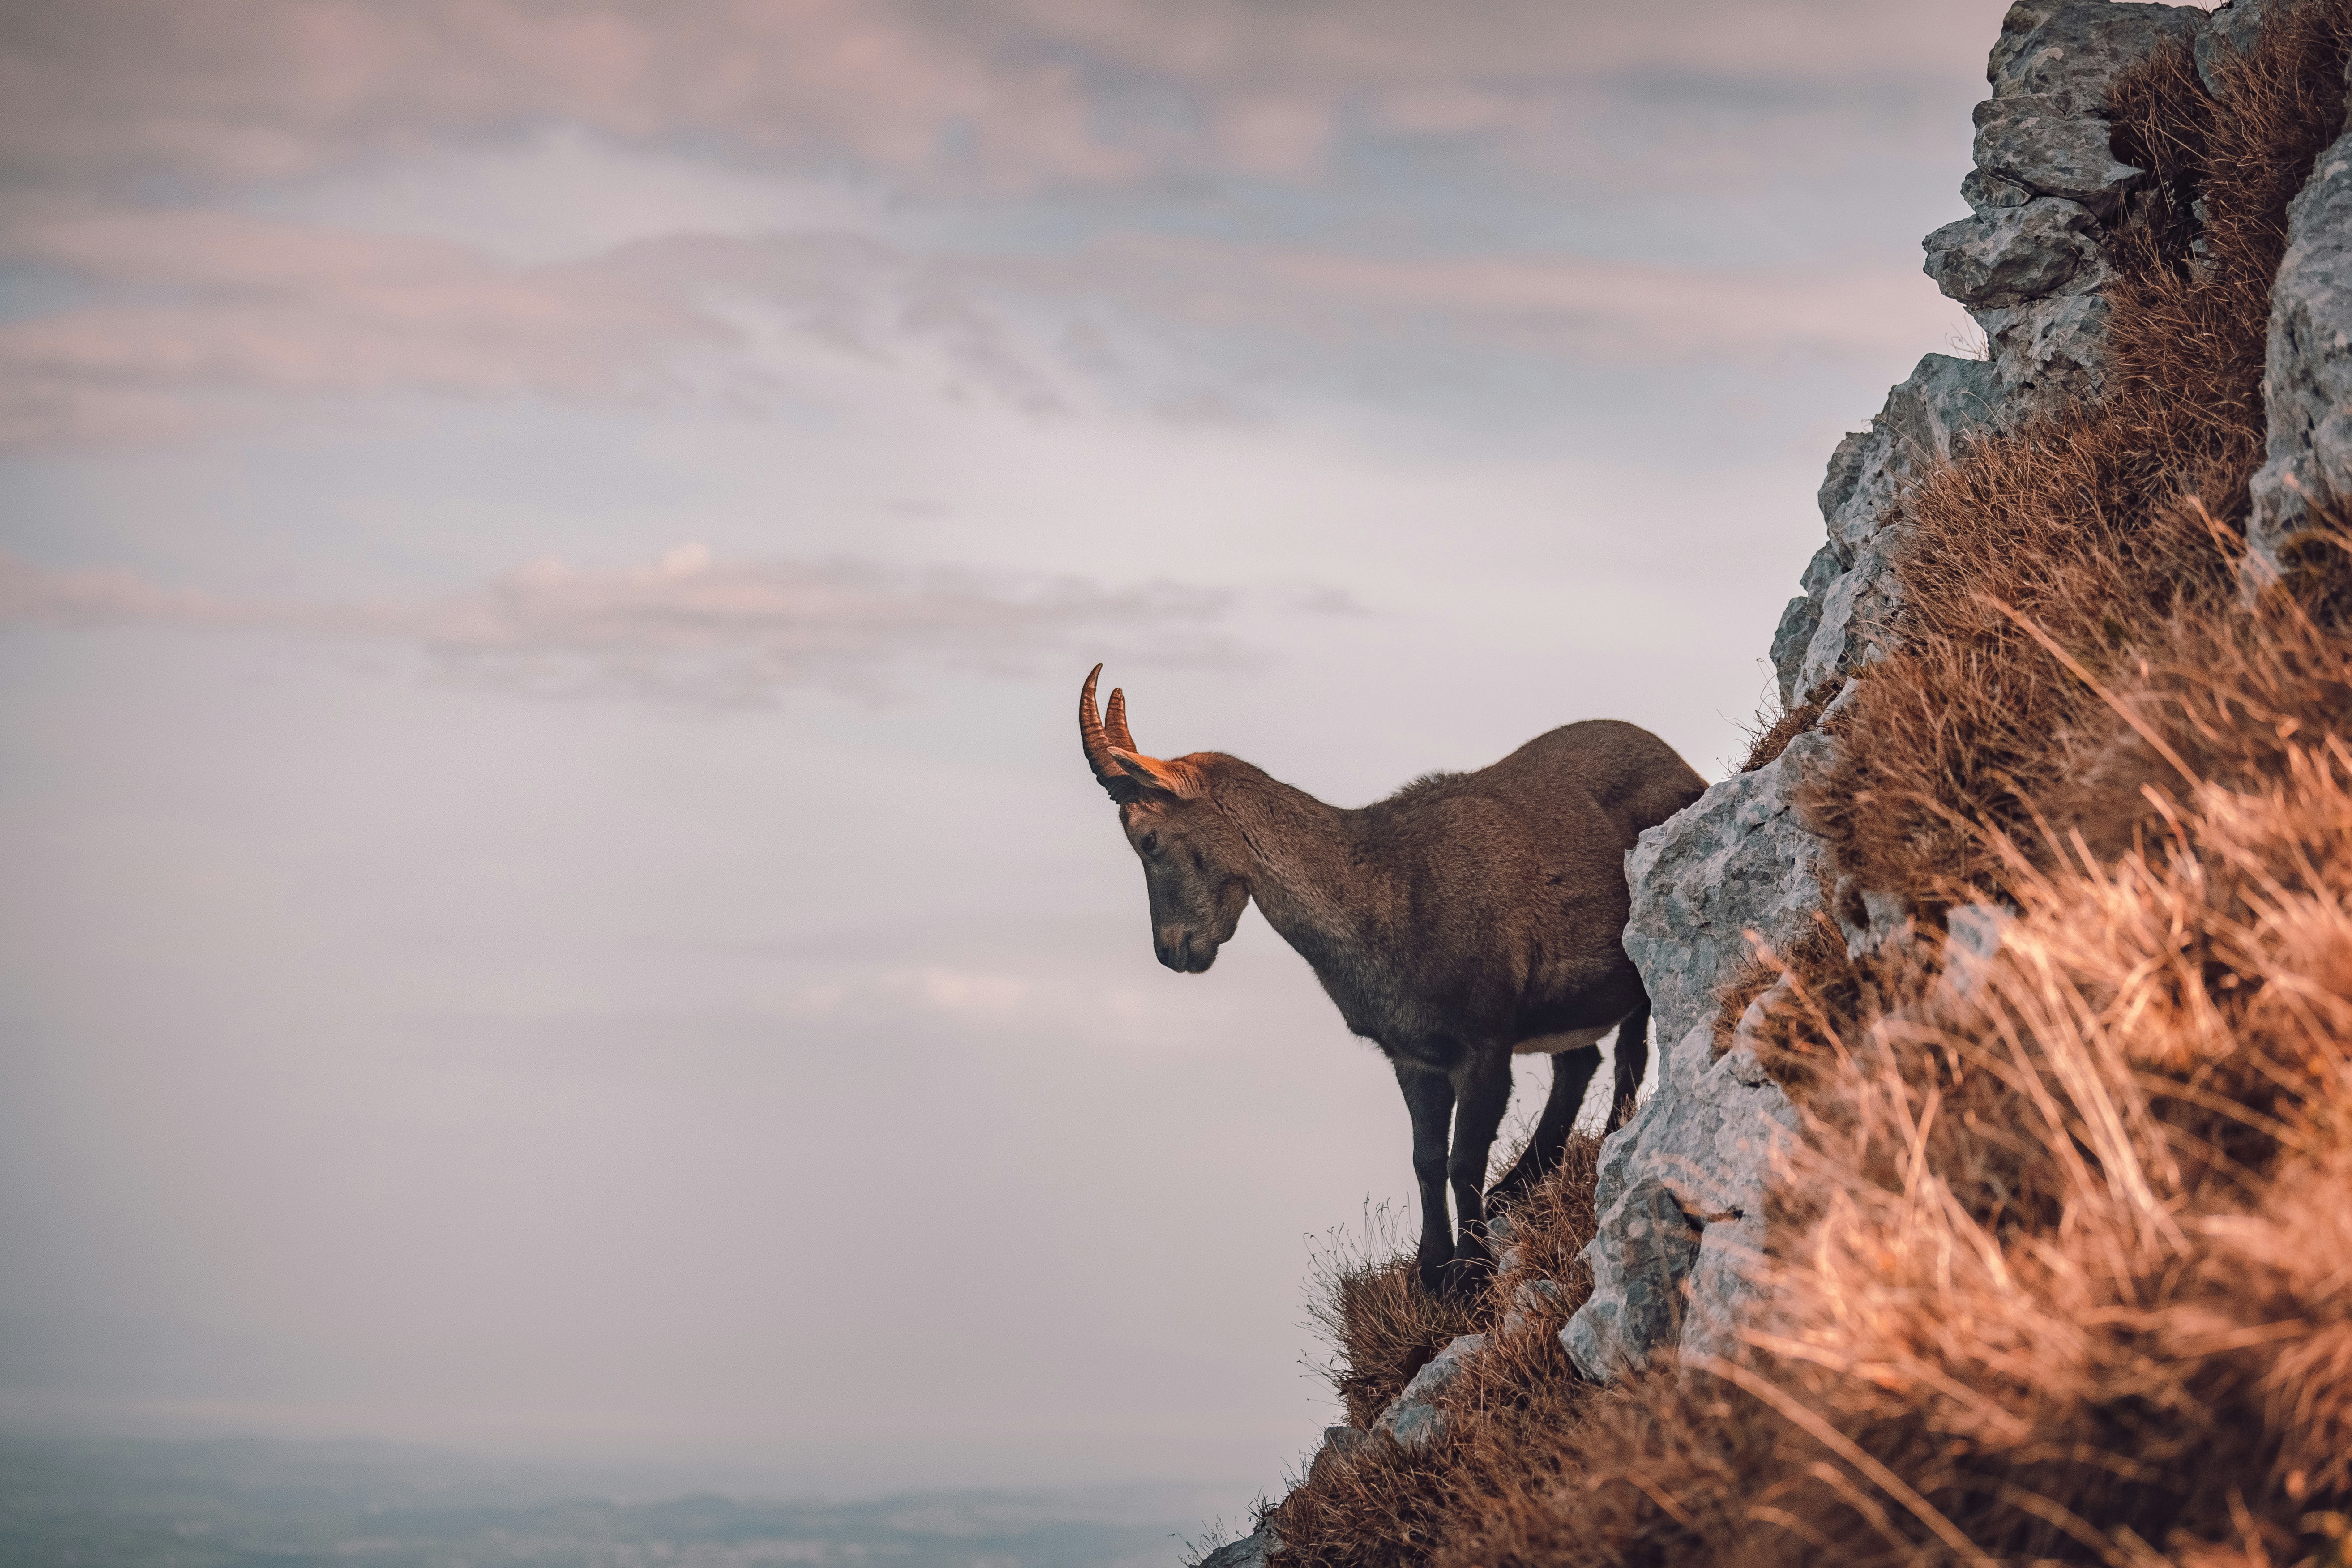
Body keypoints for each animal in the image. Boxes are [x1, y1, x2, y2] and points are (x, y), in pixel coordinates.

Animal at [1078, 665, 1706, 1293]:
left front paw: (1473, 1273)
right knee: (1579, 1062)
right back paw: (1518, 1186)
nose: (1171, 951)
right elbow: (1425, 1158)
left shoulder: (1484, 1044)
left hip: (1632, 970)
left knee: (1626, 1054)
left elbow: (1463, 1157)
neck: (1383, 890)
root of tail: (1685, 769)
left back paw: (1602, 1149)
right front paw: (1431, 1271)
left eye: (1148, 839)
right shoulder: (1413, 1054)